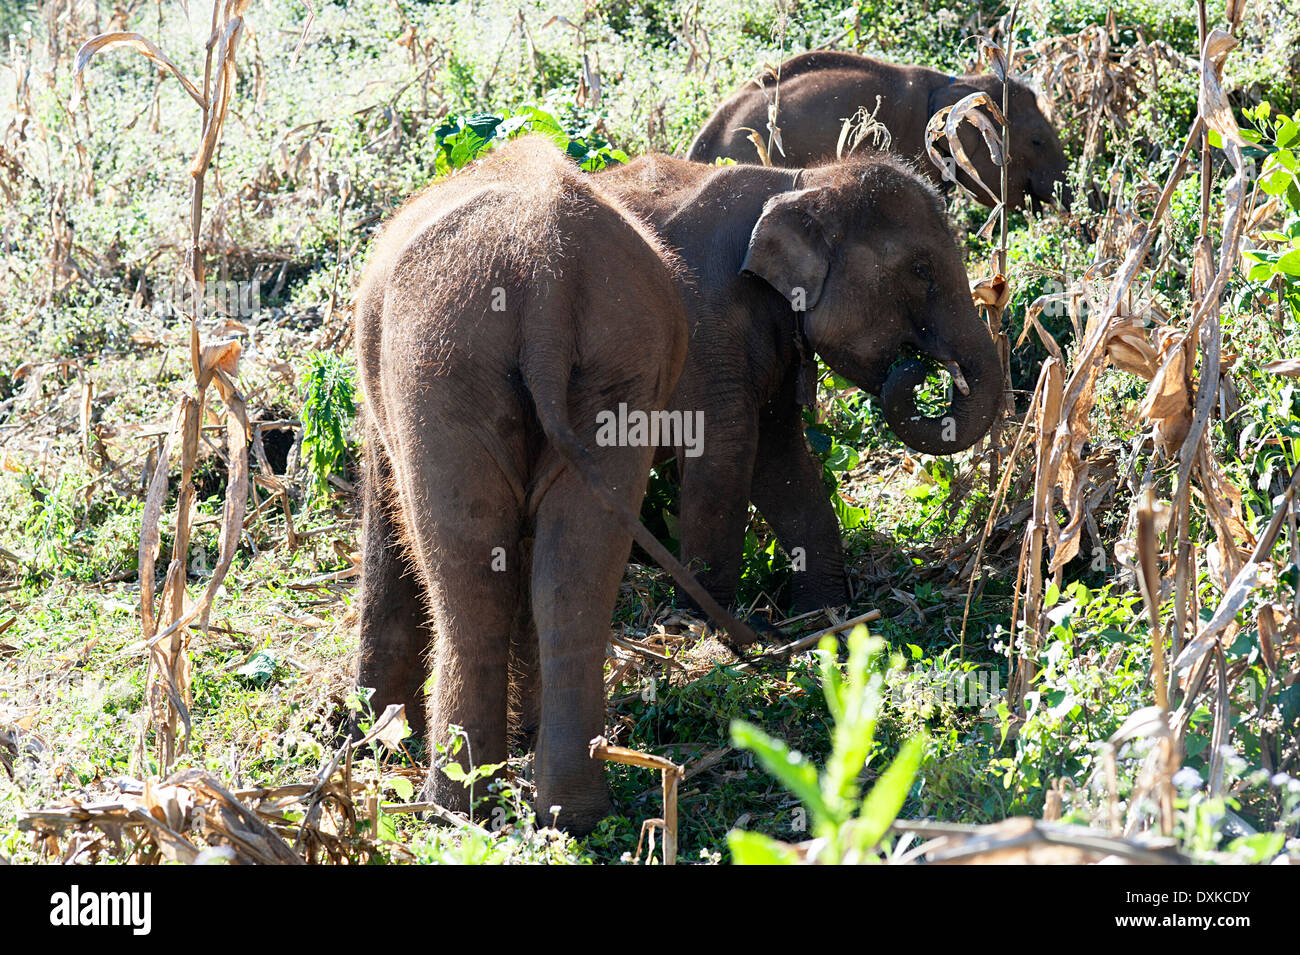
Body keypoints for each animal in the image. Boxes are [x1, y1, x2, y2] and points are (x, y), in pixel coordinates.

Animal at [353, 136, 755, 834]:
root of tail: (546, 276)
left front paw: (366, 735)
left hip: (435, 368)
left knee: (470, 582)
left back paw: (455, 806)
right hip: (614, 368)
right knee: (570, 578)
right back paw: (572, 812)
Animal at [596, 151, 1003, 614]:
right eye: (921, 270)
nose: (916, 368)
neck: (798, 184)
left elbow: (778, 454)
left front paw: (822, 614)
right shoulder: (699, 316)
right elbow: (725, 446)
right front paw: (704, 620)